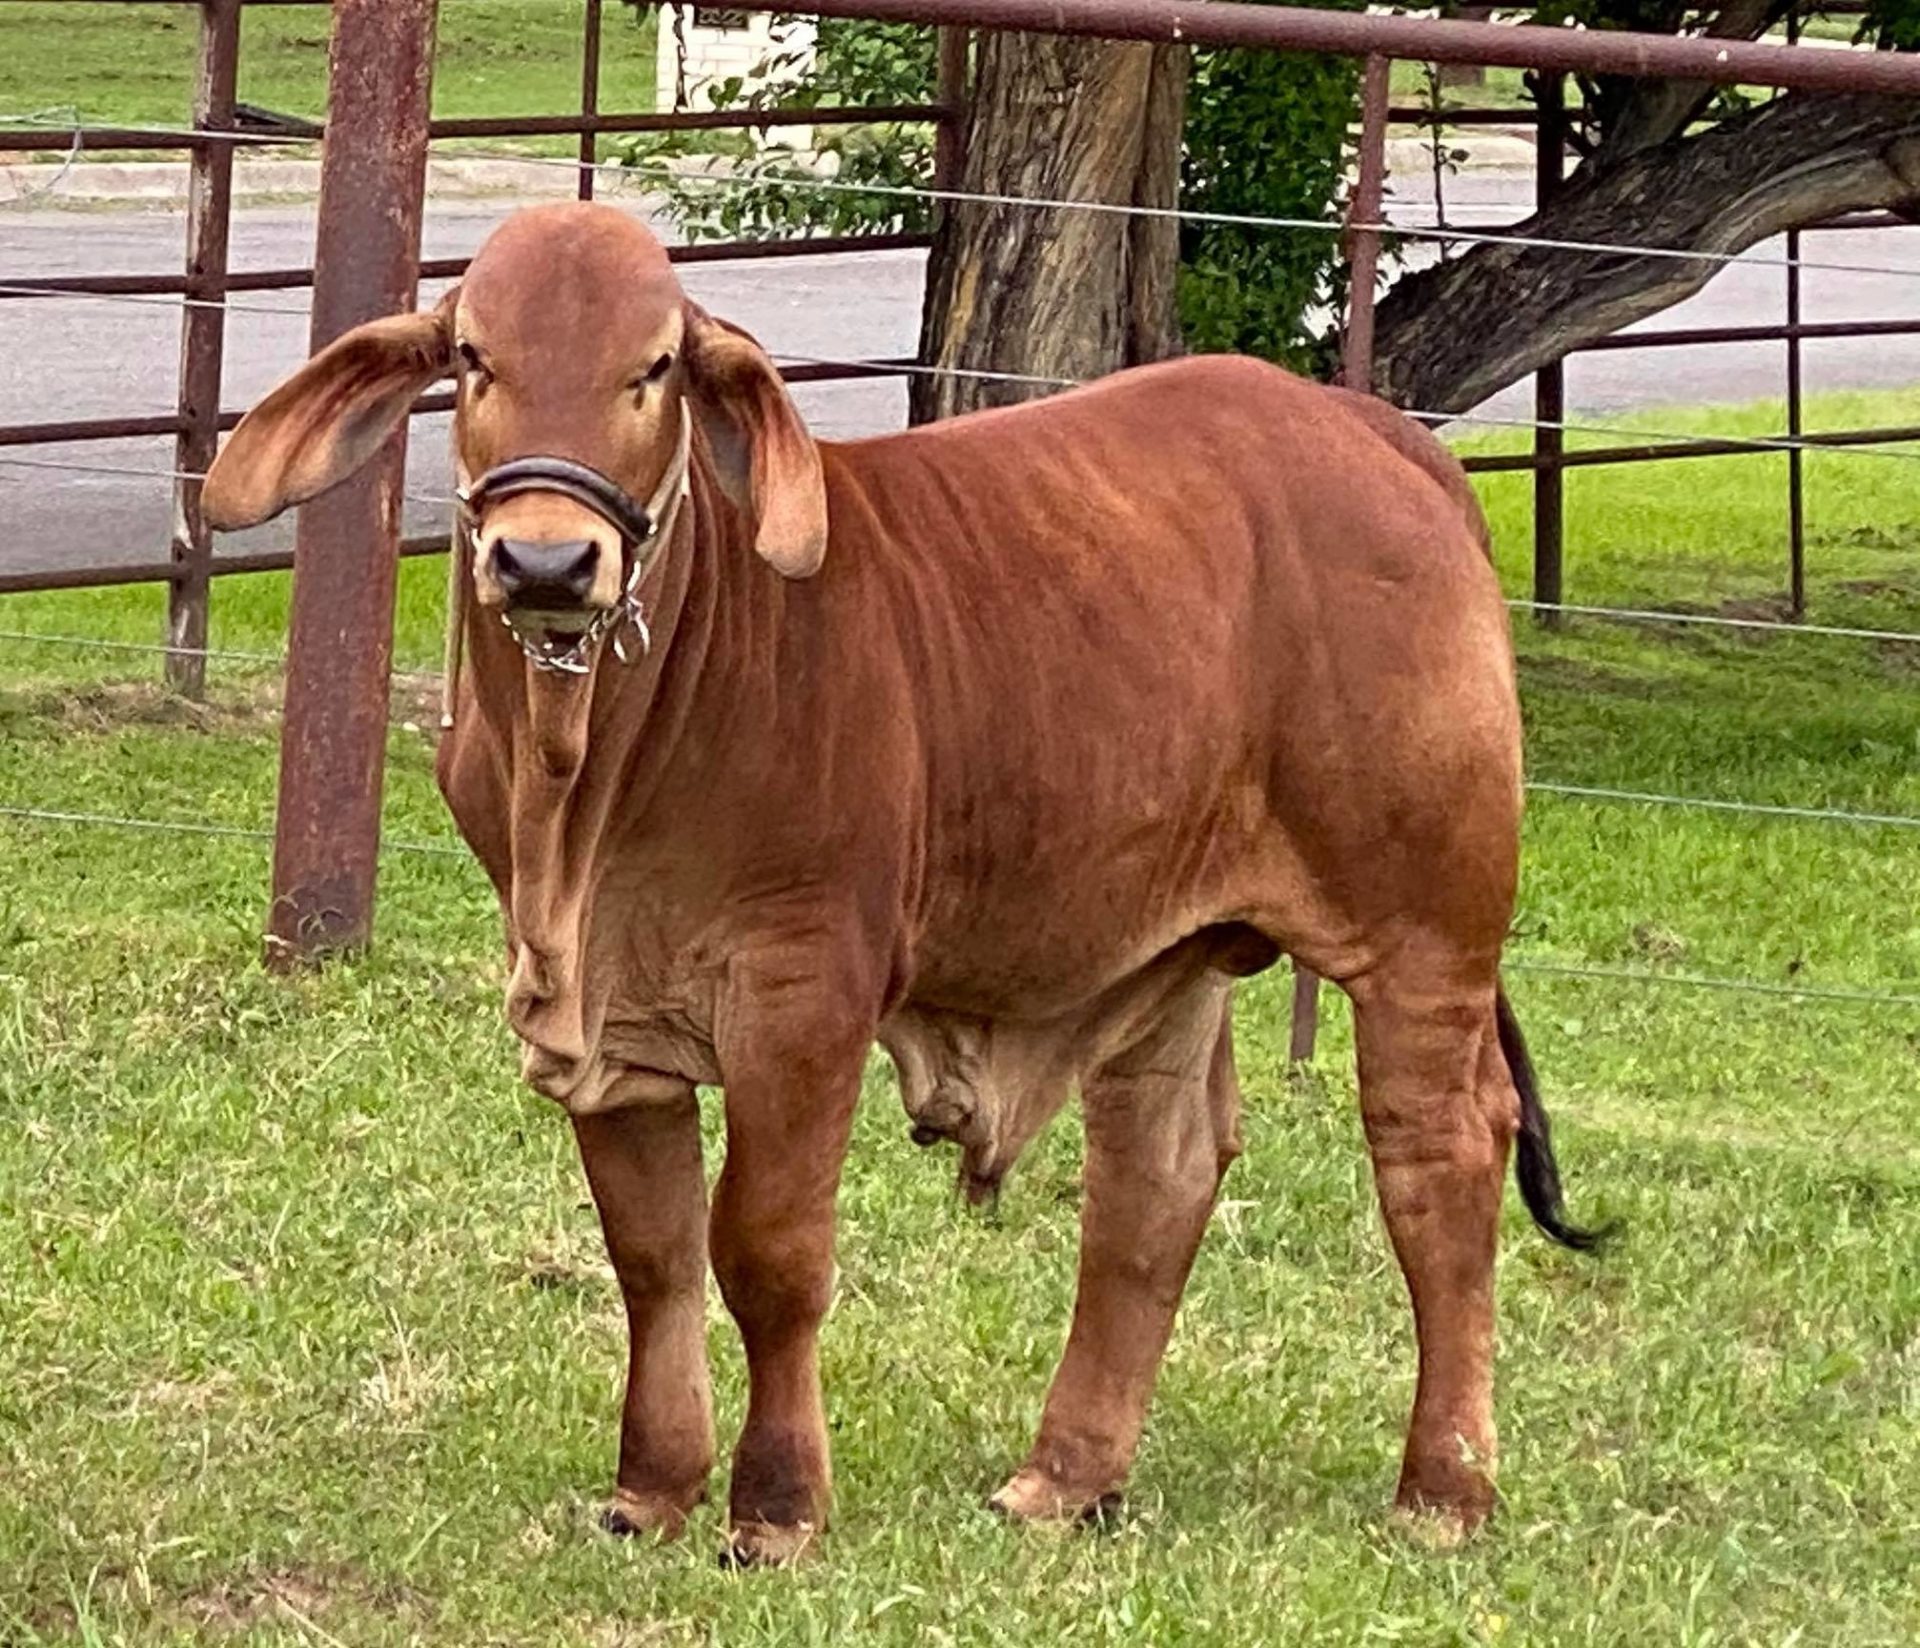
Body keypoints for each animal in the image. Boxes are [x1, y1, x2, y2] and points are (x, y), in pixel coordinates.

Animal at [203, 201, 1600, 1566]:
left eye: (652, 366)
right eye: (477, 358)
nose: (546, 566)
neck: (597, 770)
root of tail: (1383, 438)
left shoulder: (803, 994)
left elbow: (767, 1248)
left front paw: (776, 1506)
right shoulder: (608, 1023)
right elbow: (653, 1254)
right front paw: (652, 1488)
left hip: (1423, 934)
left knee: (1440, 1153)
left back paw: (1444, 1486)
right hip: (1170, 948)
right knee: (1157, 1173)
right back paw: (1064, 1475)